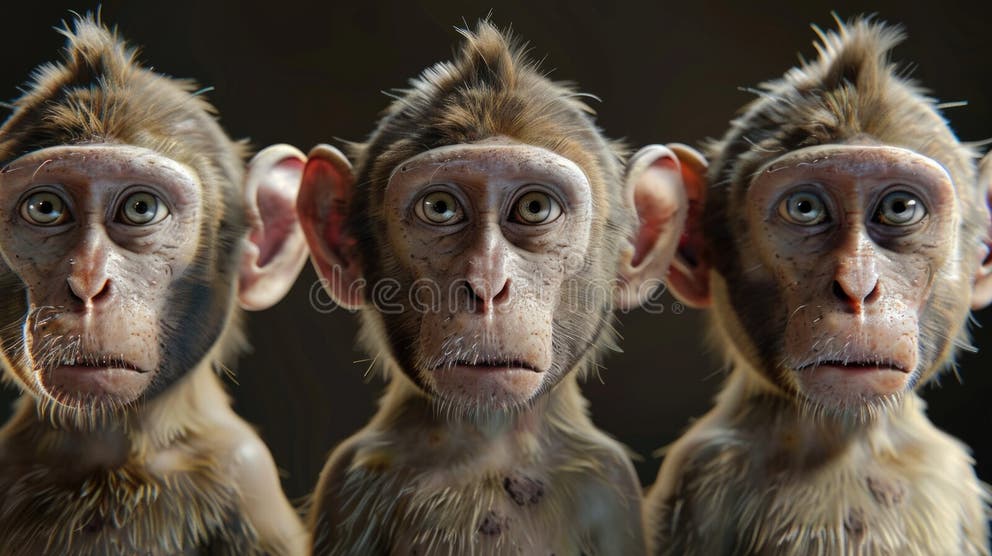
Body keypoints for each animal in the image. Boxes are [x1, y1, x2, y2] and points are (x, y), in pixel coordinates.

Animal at [298, 21, 688, 556]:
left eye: (535, 208)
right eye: (440, 207)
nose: (486, 284)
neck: (488, 447)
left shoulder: (609, 484)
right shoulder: (349, 482)